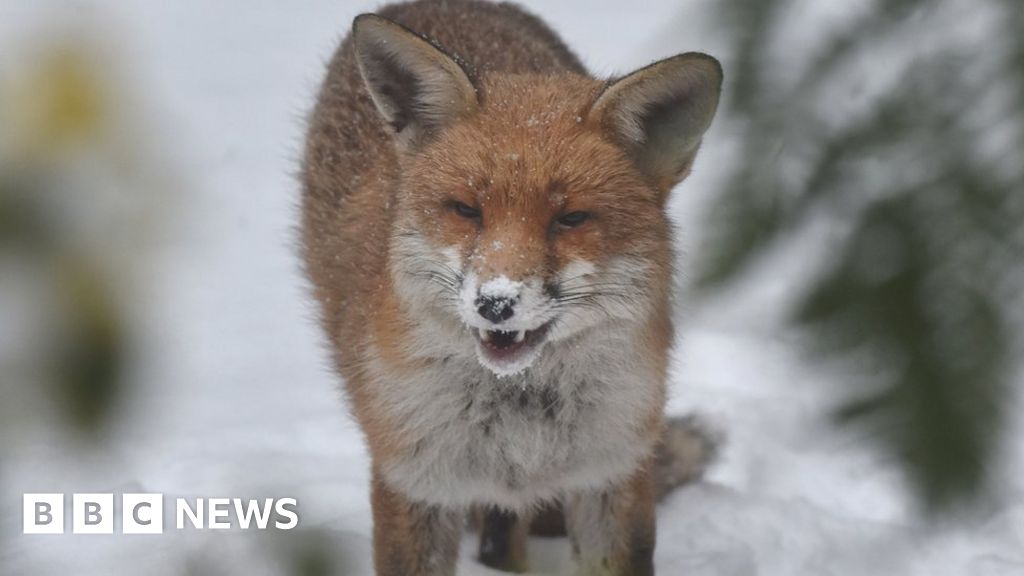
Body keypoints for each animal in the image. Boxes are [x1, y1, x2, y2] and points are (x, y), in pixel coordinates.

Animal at [300, 1, 722, 574]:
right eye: (466, 210)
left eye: (571, 219)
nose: (495, 304)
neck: (522, 412)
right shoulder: (413, 476)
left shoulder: (613, 469)